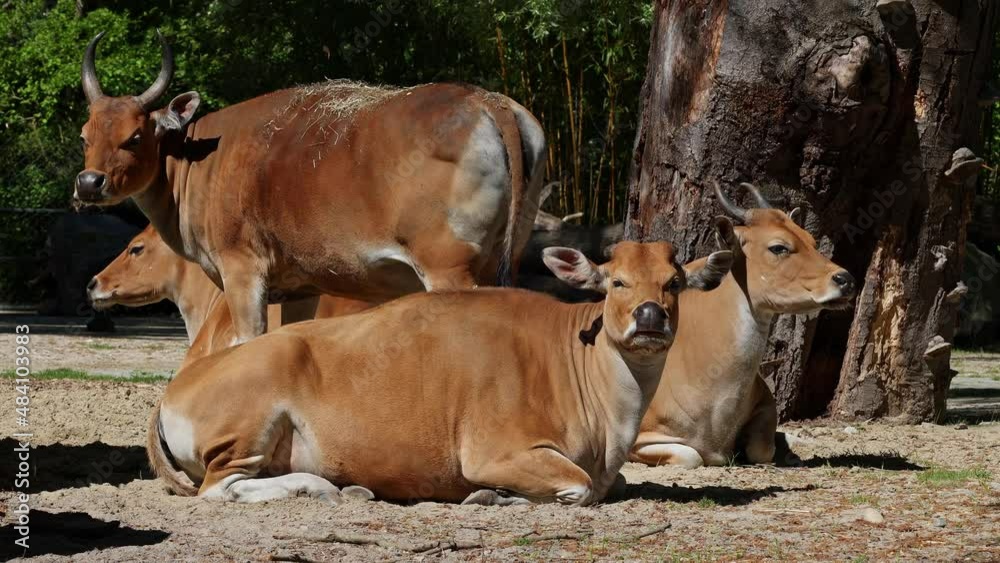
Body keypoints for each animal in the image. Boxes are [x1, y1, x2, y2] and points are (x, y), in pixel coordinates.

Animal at [76, 32, 546, 345]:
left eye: (135, 137)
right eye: (84, 136)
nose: (89, 183)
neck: (198, 157)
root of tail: (488, 103)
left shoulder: (243, 272)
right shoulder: (301, 288)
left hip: (449, 271)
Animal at [146, 242, 734, 505]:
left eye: (673, 283)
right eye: (616, 282)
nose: (650, 316)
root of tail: (173, 390)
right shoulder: (495, 452)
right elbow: (580, 487)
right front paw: (492, 497)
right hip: (247, 426)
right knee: (219, 489)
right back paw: (322, 486)